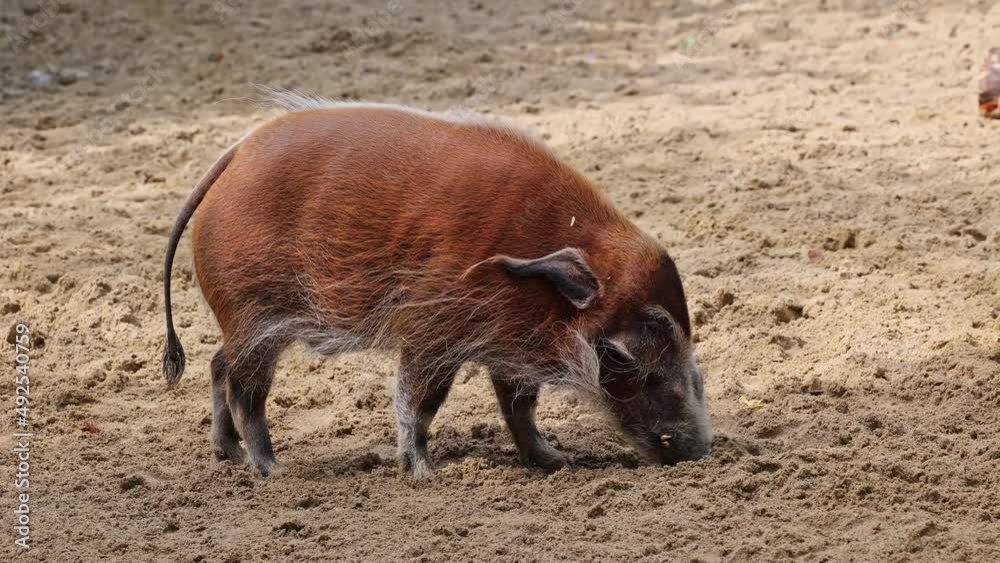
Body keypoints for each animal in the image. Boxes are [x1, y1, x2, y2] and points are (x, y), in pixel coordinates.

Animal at [161, 91, 712, 477]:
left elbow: (520, 407)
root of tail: (234, 155)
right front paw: (423, 471)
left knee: (217, 364)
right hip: (254, 317)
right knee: (245, 390)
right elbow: (420, 400)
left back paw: (229, 455)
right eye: (630, 358)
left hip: (244, 324)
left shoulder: (509, 342)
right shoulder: (433, 331)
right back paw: (273, 469)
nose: (699, 450)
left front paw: (557, 461)